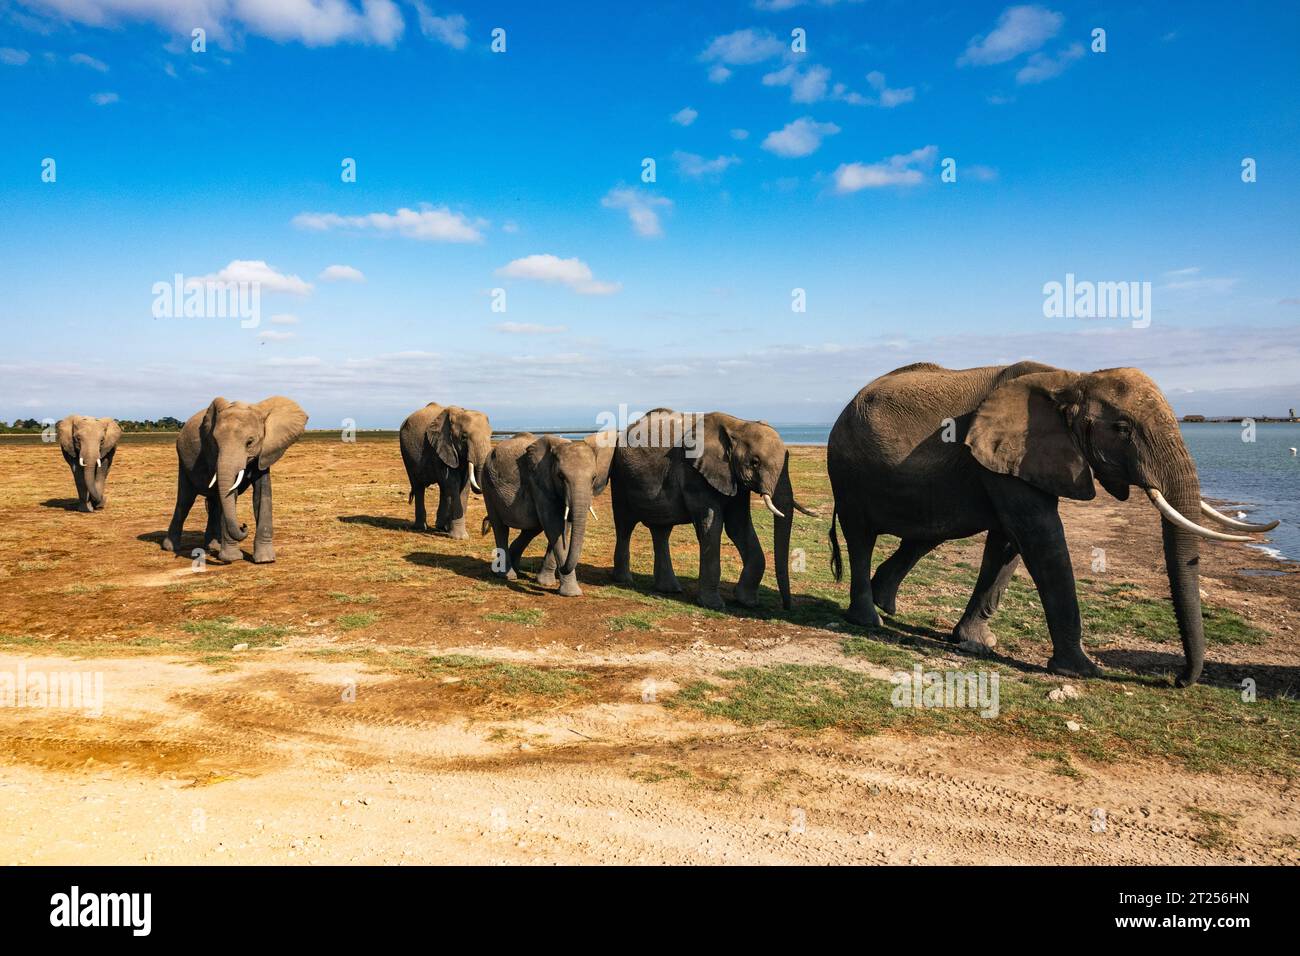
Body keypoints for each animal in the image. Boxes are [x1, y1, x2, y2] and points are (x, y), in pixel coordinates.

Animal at [162, 396, 308, 563]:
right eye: (215, 443)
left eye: (250, 442)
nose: (243, 525)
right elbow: (230, 494)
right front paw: (232, 558)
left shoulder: (265, 452)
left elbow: (262, 495)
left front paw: (265, 560)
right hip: (182, 461)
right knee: (185, 501)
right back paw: (170, 547)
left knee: (213, 503)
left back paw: (213, 547)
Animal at [399, 403, 492, 539]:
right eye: (464, 437)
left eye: (491, 435)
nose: (485, 529)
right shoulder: (440, 447)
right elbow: (453, 483)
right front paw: (460, 538)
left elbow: (464, 486)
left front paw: (455, 534)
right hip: (407, 454)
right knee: (419, 487)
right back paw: (421, 527)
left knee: (443, 489)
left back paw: (442, 527)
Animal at [481, 431, 617, 596]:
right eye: (561, 476)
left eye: (594, 478)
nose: (563, 568)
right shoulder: (539, 482)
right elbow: (554, 527)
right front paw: (572, 593)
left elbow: (564, 528)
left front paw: (545, 583)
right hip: (487, 485)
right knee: (500, 528)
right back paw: (507, 575)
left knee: (532, 529)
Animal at [610, 409, 812, 611]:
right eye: (755, 462)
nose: (787, 607)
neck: (738, 425)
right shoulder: (694, 473)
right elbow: (711, 527)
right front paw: (714, 605)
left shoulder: (734, 480)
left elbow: (738, 527)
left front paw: (747, 602)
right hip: (620, 478)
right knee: (625, 526)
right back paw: (624, 581)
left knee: (661, 531)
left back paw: (669, 589)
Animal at [826, 362, 1278, 686]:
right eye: (1123, 428)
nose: (1176, 680)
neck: (1072, 380)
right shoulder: (1007, 453)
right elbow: (1039, 536)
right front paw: (1082, 670)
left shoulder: (1013, 460)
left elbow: (1008, 543)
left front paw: (975, 644)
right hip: (848, 474)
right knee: (862, 537)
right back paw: (868, 619)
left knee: (922, 538)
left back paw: (886, 605)